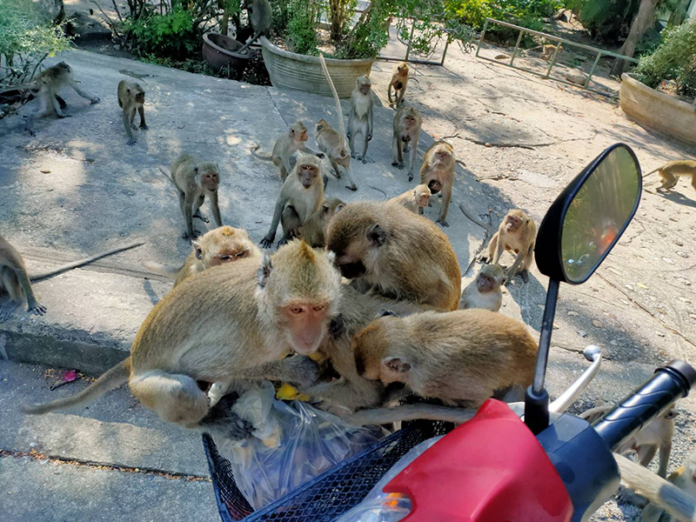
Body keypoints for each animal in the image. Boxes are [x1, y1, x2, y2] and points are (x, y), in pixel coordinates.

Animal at [22, 240, 343, 440]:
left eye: (319, 308)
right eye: (297, 309)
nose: (309, 335)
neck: (266, 309)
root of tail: (133, 360)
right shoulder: (248, 330)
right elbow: (202, 363)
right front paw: (296, 371)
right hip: (145, 389)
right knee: (182, 390)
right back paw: (205, 421)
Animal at [317, 53, 359, 191]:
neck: (325, 128)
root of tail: (342, 149)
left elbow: (320, 146)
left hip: (335, 155)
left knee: (331, 159)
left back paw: (337, 174)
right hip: (348, 157)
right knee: (348, 168)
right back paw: (353, 186)